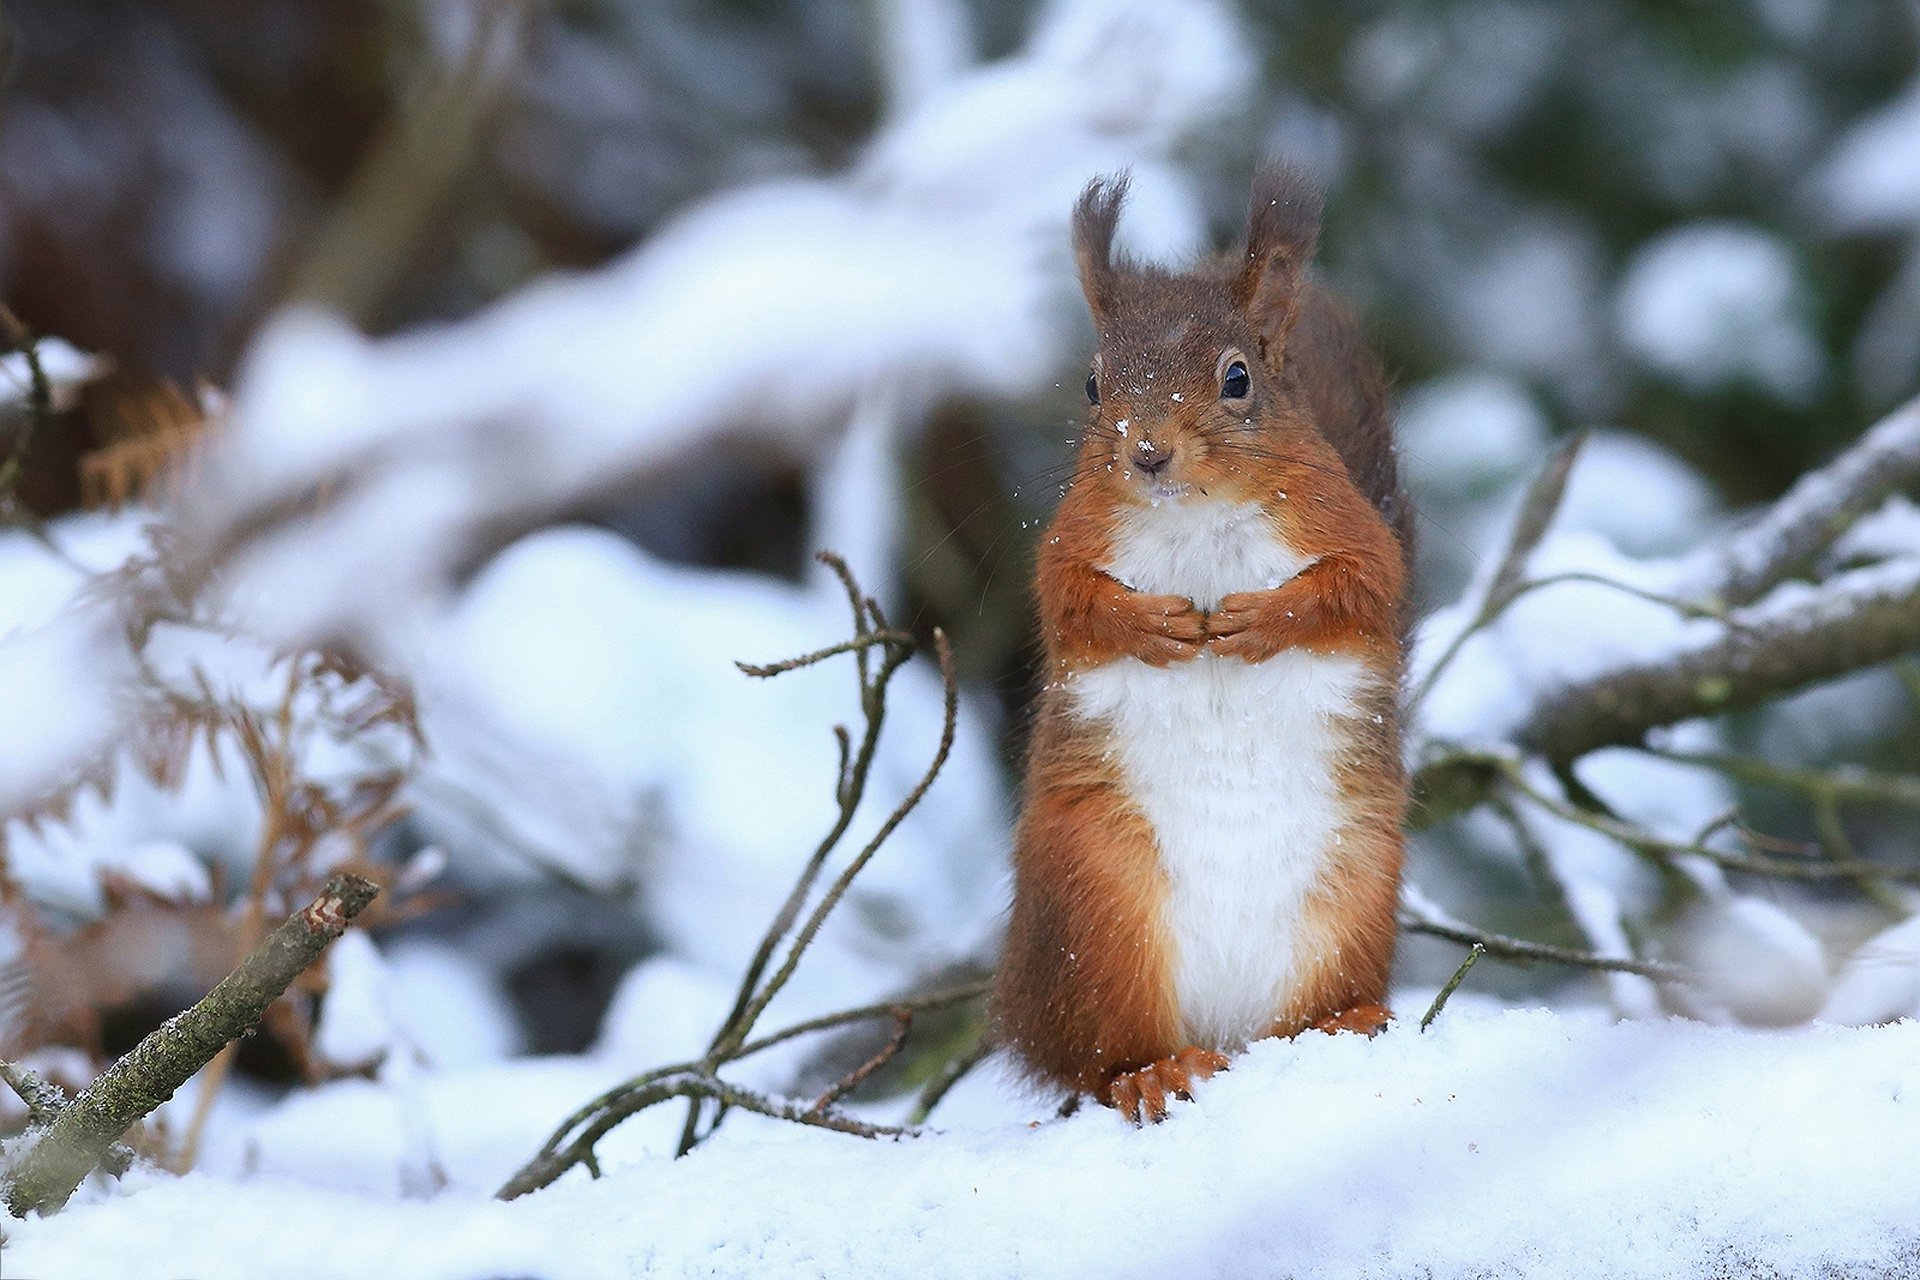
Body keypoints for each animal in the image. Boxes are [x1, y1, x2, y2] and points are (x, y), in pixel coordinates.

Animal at [990, 165, 1413, 1124]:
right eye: (1092, 384)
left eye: (1237, 378)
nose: (1147, 453)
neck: (1197, 513)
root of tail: (1230, 1032)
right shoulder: (1069, 545)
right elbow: (1071, 606)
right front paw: (1154, 625)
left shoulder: (1352, 532)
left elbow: (1362, 589)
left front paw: (1262, 620)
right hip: (1099, 912)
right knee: (1092, 1061)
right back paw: (1153, 1072)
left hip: (1354, 895)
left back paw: (1343, 1021)